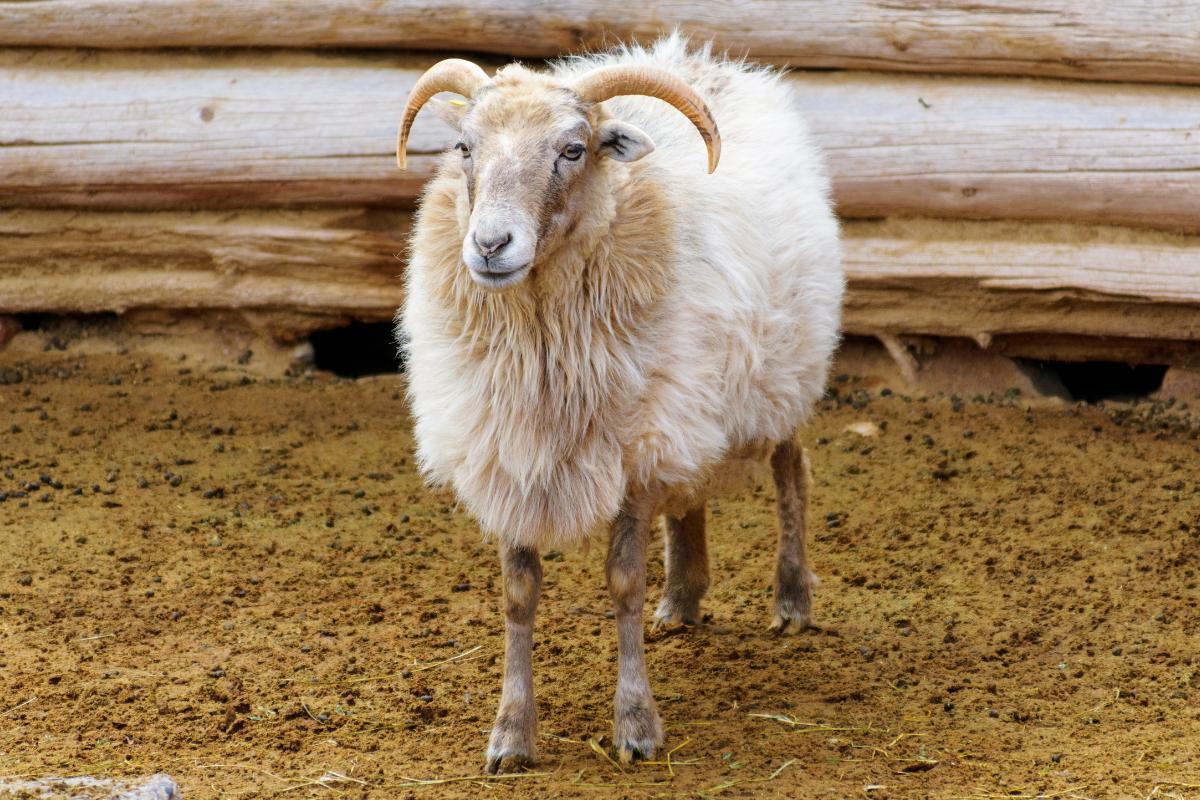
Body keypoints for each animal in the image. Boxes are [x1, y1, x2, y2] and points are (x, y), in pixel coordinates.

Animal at [395, 35, 844, 773]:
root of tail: (700, 60)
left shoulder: (633, 452)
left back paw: (791, 600)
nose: (490, 245)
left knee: (794, 471)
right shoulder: (510, 447)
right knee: (690, 494)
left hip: (778, 374)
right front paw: (511, 734)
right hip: (690, 398)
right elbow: (518, 595)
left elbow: (623, 582)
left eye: (574, 149)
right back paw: (683, 598)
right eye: (464, 147)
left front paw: (636, 725)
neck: (541, 337)